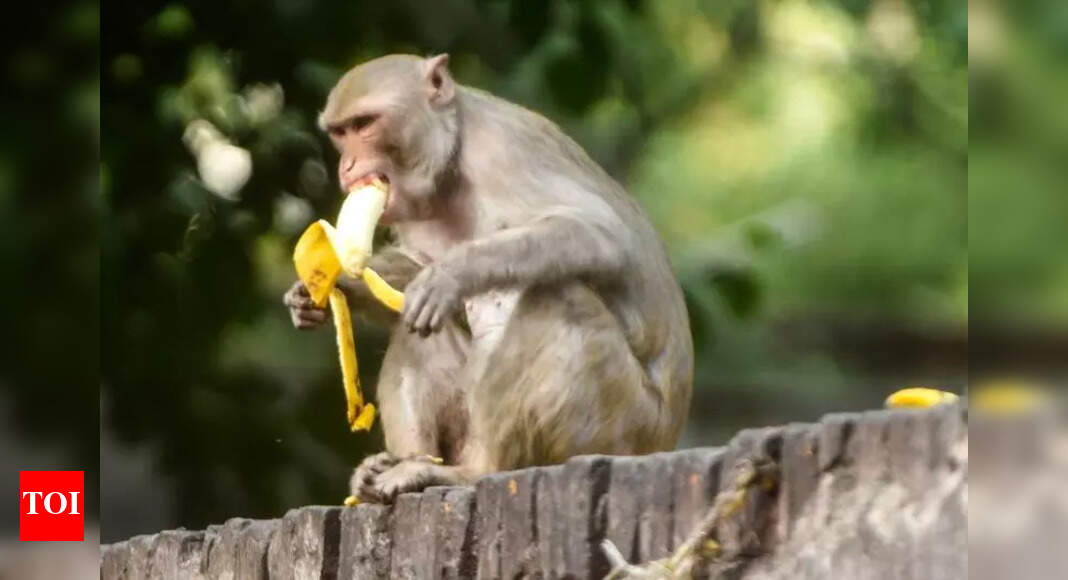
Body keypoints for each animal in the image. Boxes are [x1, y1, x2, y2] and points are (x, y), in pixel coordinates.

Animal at [283, 54, 693, 502]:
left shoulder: (503, 150)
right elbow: (412, 274)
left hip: (622, 425)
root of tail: (665, 439)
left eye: (364, 124)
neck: (452, 164)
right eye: (340, 133)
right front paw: (324, 291)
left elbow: (599, 234)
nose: (347, 166)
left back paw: (474, 472)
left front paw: (450, 275)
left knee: (558, 299)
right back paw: (404, 466)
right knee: (422, 327)